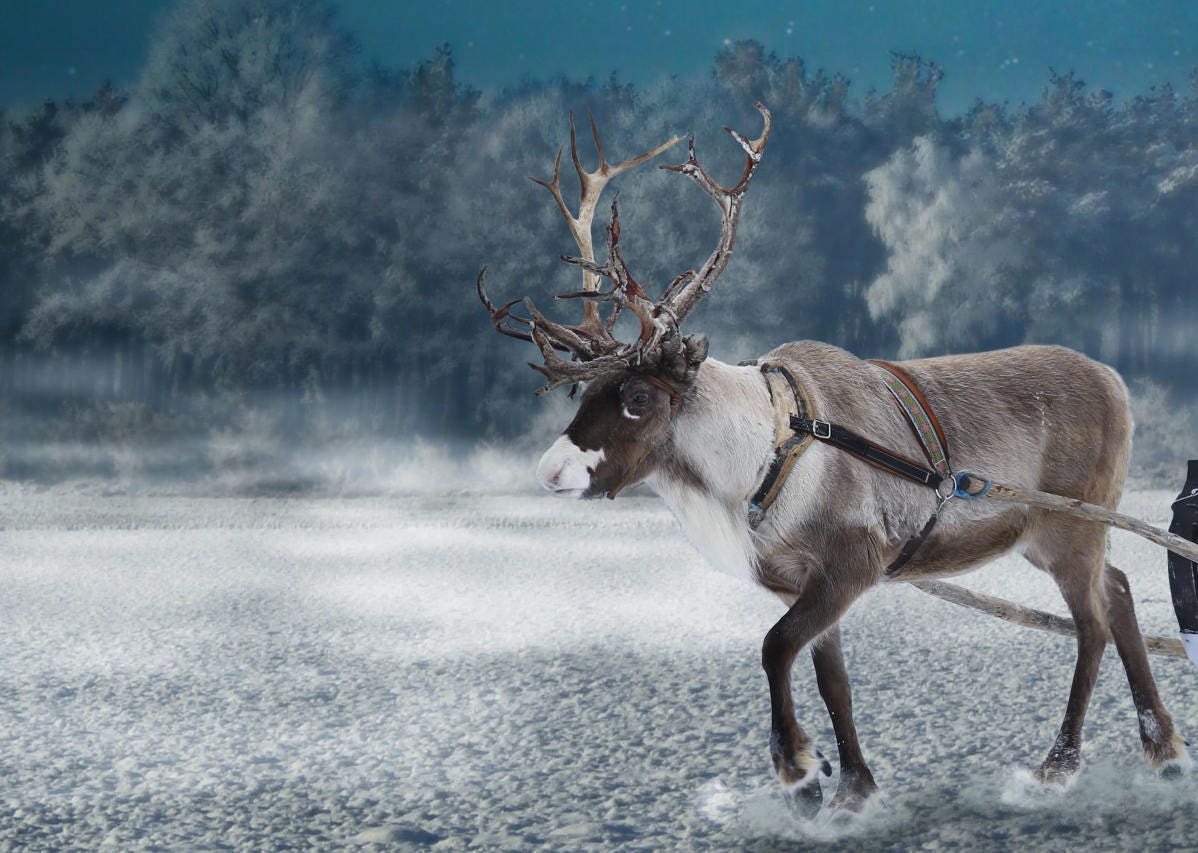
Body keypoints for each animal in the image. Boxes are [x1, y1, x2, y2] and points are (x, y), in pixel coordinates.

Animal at [476, 104, 1192, 815]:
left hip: (1070, 525)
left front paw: (799, 771)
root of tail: (1116, 382)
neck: (756, 465)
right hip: (1051, 534)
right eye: (584, 390)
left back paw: (1057, 767)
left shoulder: (853, 563)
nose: (549, 470)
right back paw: (1164, 750)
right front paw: (853, 790)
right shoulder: (804, 583)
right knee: (1120, 589)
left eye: (638, 397)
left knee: (1092, 621)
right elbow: (832, 680)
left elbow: (774, 648)